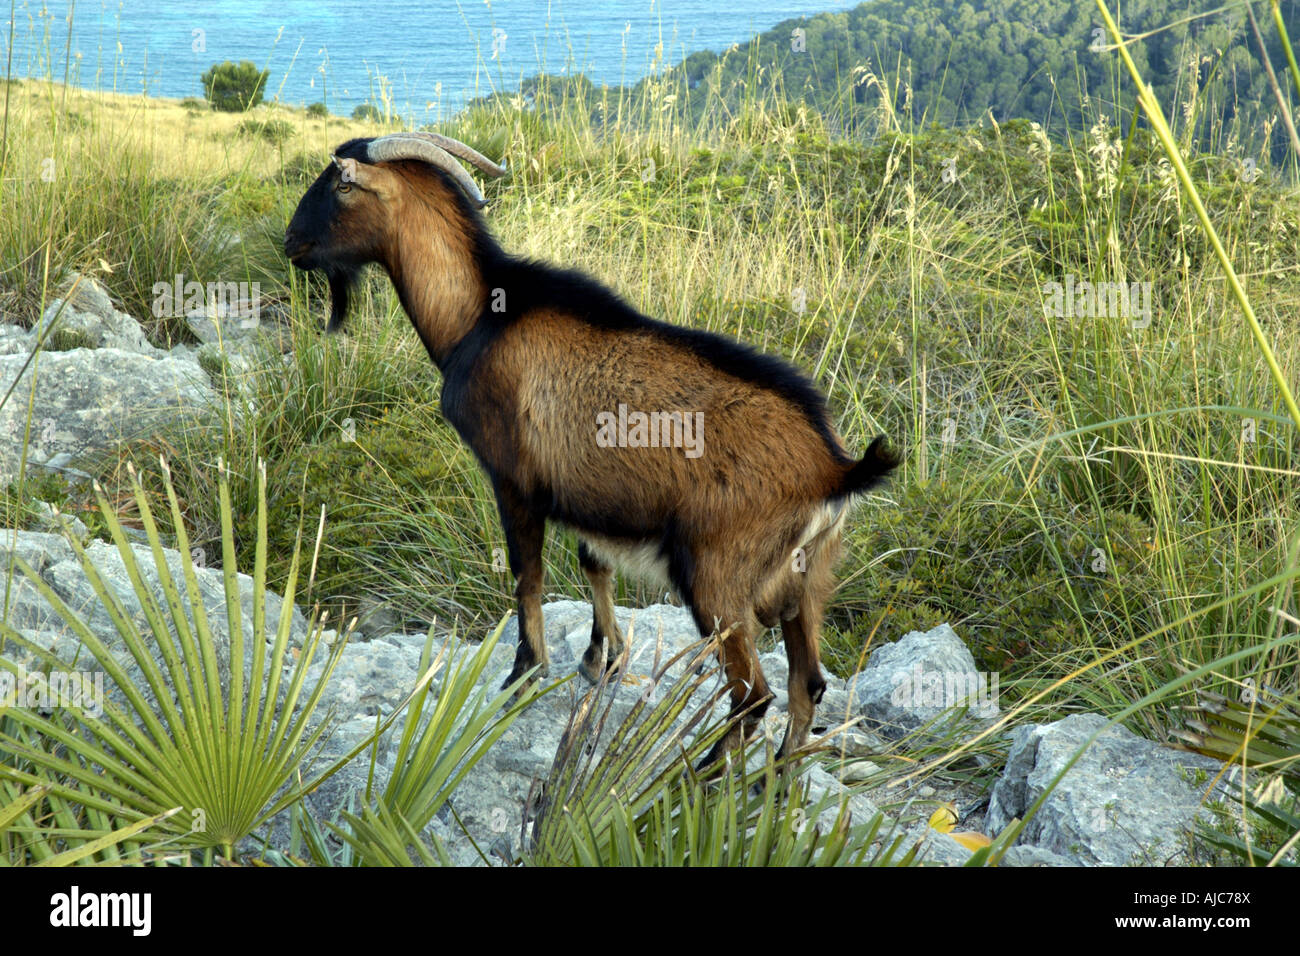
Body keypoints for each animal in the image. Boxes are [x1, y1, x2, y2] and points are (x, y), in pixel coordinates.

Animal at [284, 131, 900, 766]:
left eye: (341, 182)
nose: (291, 243)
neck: (476, 314)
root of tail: (833, 470)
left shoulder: (514, 481)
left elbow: (527, 576)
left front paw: (525, 673)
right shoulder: (588, 491)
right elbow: (592, 562)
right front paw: (600, 657)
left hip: (715, 578)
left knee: (755, 694)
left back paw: (692, 776)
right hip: (811, 582)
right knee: (808, 686)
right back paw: (771, 778)